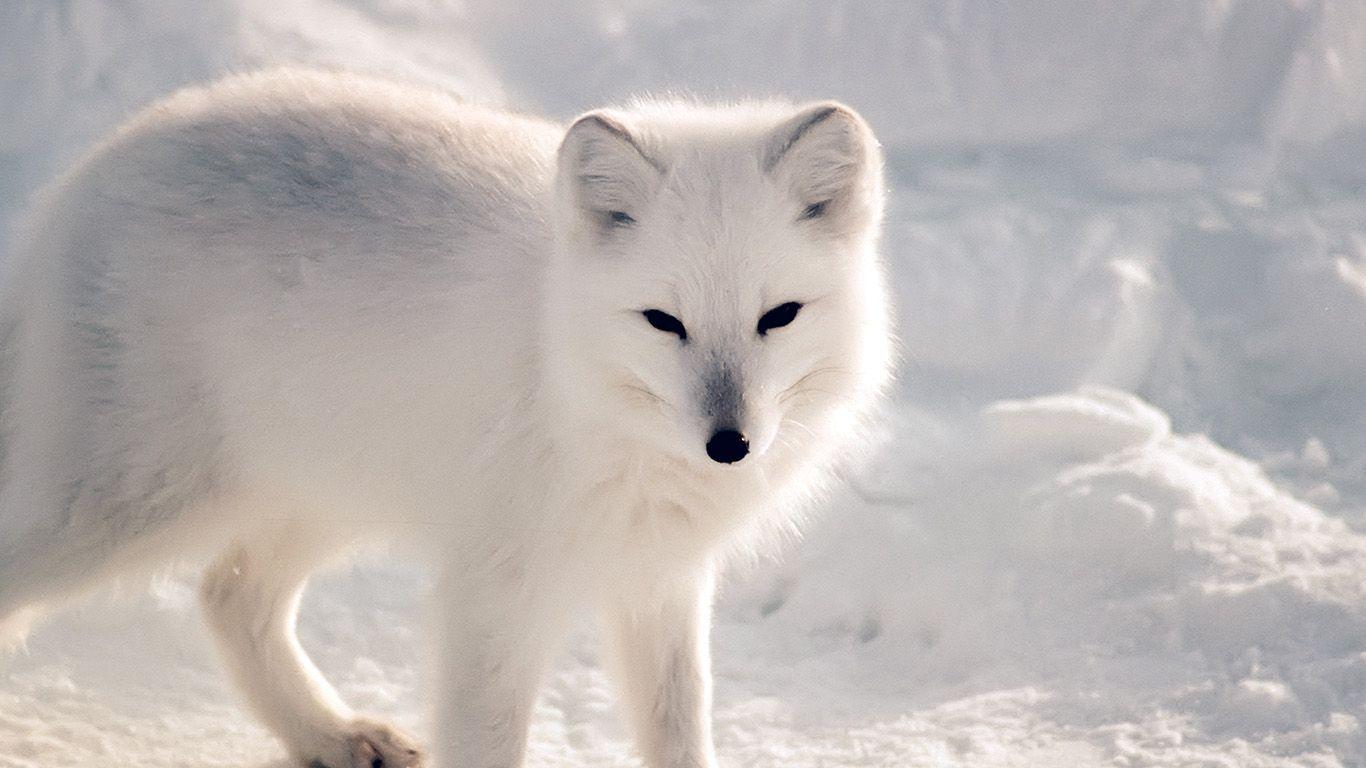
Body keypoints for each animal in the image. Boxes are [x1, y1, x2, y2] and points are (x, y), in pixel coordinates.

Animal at [0, 69, 893, 768]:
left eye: (779, 316)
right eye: (663, 321)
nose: (729, 445)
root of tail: (81, 181)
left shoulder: (658, 577)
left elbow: (679, 729)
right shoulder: (495, 592)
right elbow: (489, 741)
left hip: (323, 492)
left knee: (229, 595)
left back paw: (330, 736)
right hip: (129, 505)